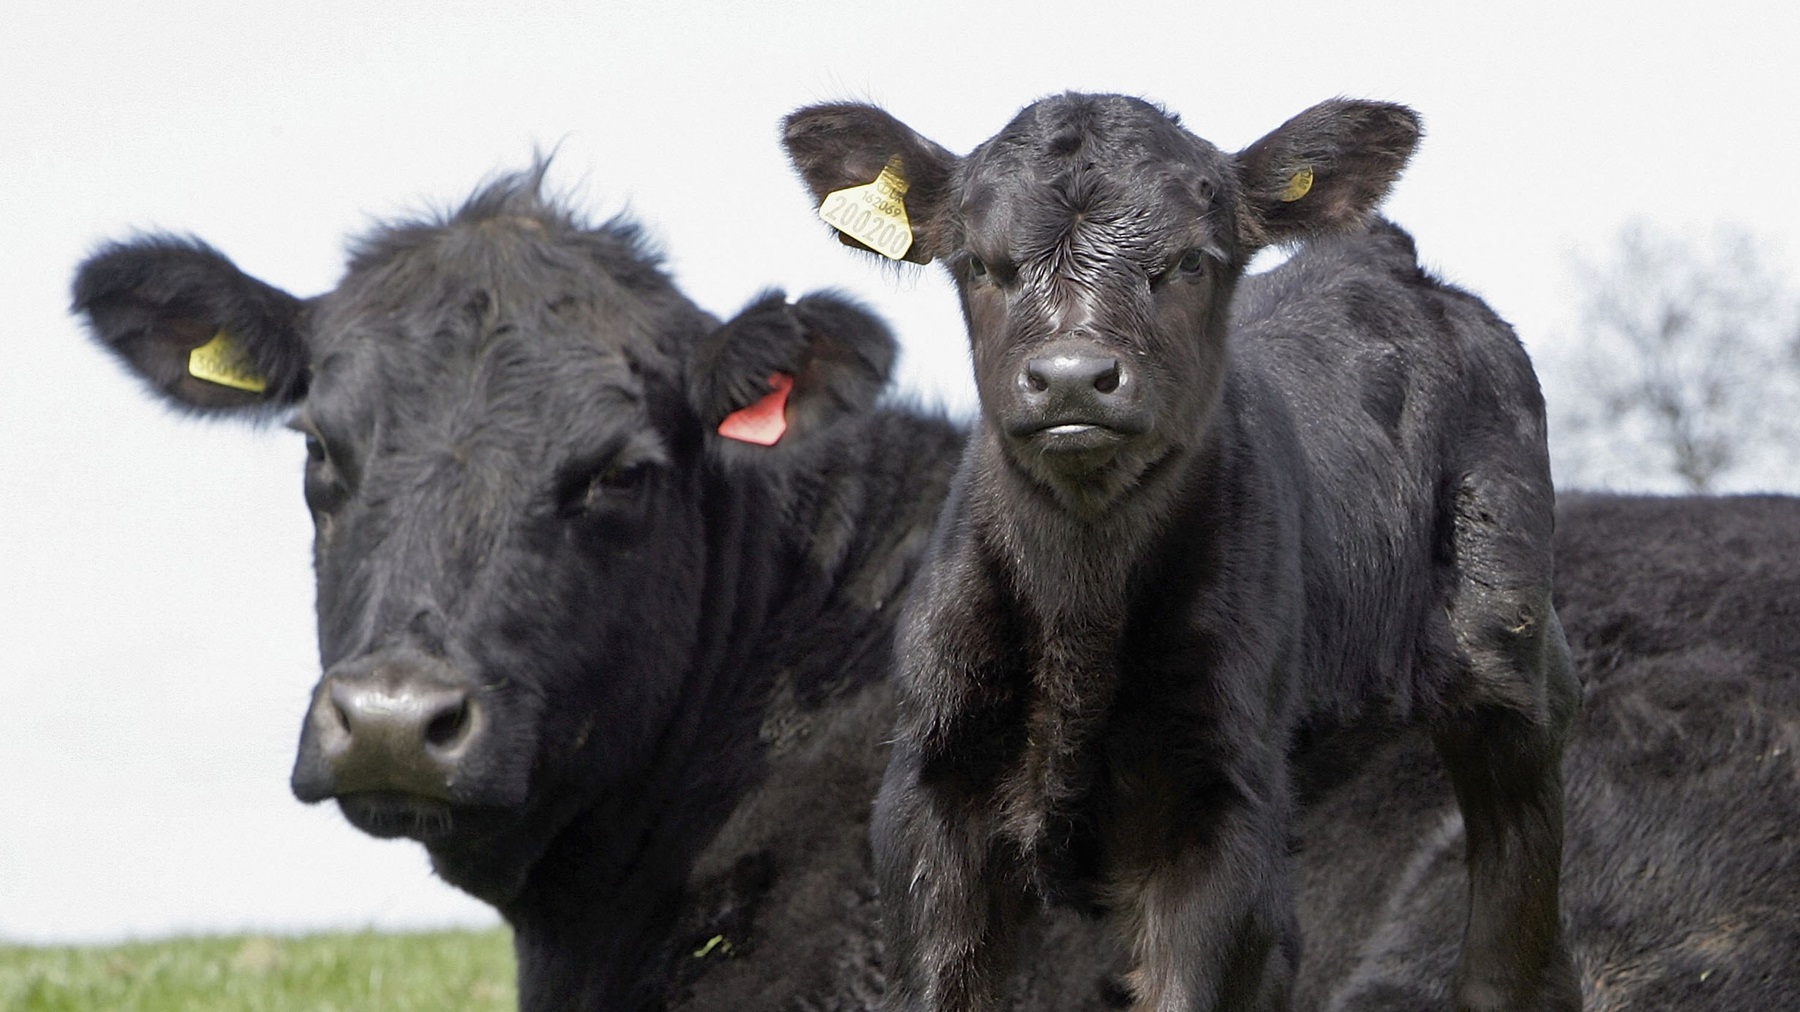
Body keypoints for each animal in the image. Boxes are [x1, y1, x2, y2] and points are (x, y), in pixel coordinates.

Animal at [783, 95, 1580, 1011]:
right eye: (981, 264)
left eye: (1191, 262)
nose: (1071, 376)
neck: (1079, 616)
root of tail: (1386, 262)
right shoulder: (929, 794)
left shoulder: (1218, 809)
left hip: (1512, 671)